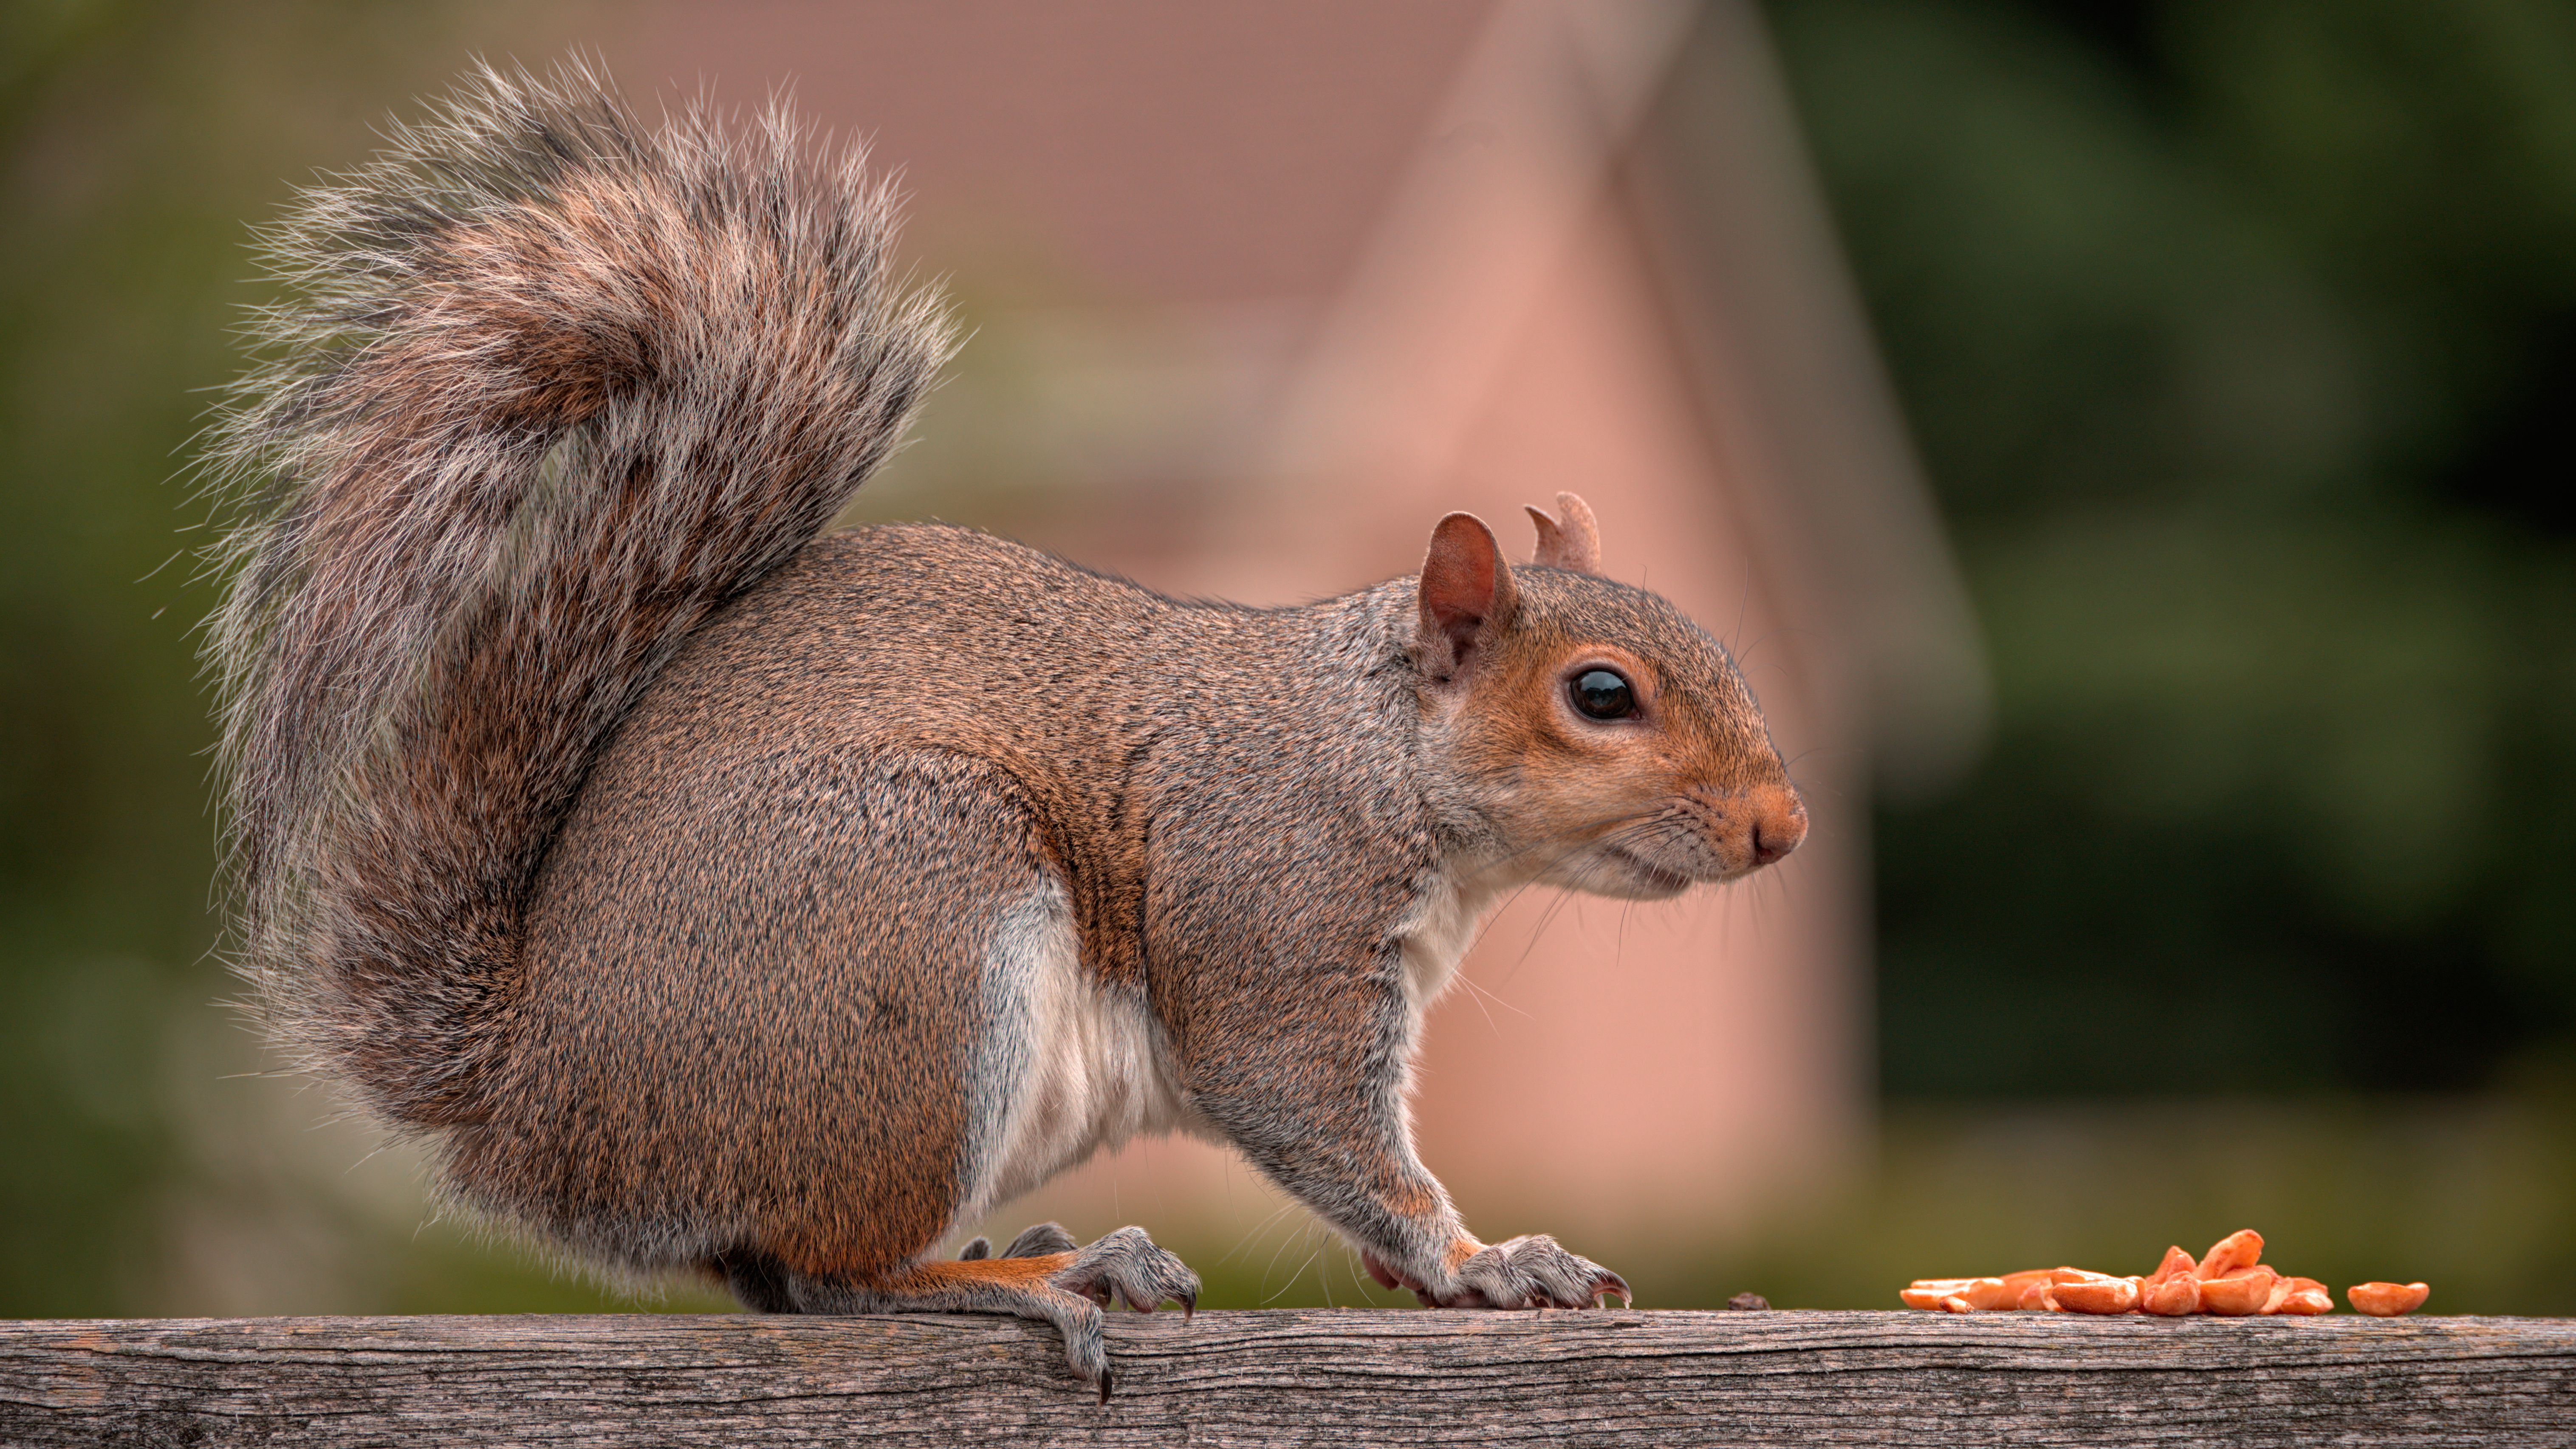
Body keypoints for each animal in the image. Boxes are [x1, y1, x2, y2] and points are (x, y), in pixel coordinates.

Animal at [201, 60, 1808, 1399]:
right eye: (1599, 695)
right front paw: (1478, 1261)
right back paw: (1037, 1278)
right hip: (917, 925)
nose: (1780, 827)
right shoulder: (1274, 919)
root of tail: (535, 1103)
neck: (1373, 759)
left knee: (772, 1271)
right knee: (832, 1280)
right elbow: (1308, 1113)